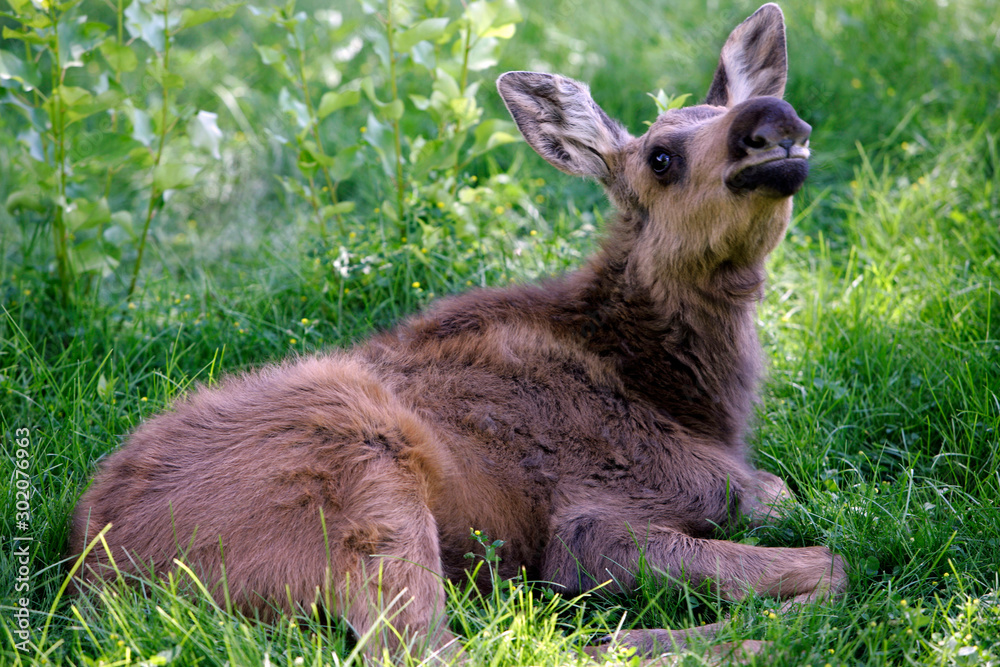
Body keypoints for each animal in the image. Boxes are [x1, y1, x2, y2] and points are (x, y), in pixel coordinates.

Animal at [69, 3, 846, 661]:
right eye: (660, 156)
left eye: (728, 111)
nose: (773, 119)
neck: (684, 395)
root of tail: (102, 584)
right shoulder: (594, 522)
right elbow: (825, 554)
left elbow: (789, 502)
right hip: (364, 472)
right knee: (445, 647)